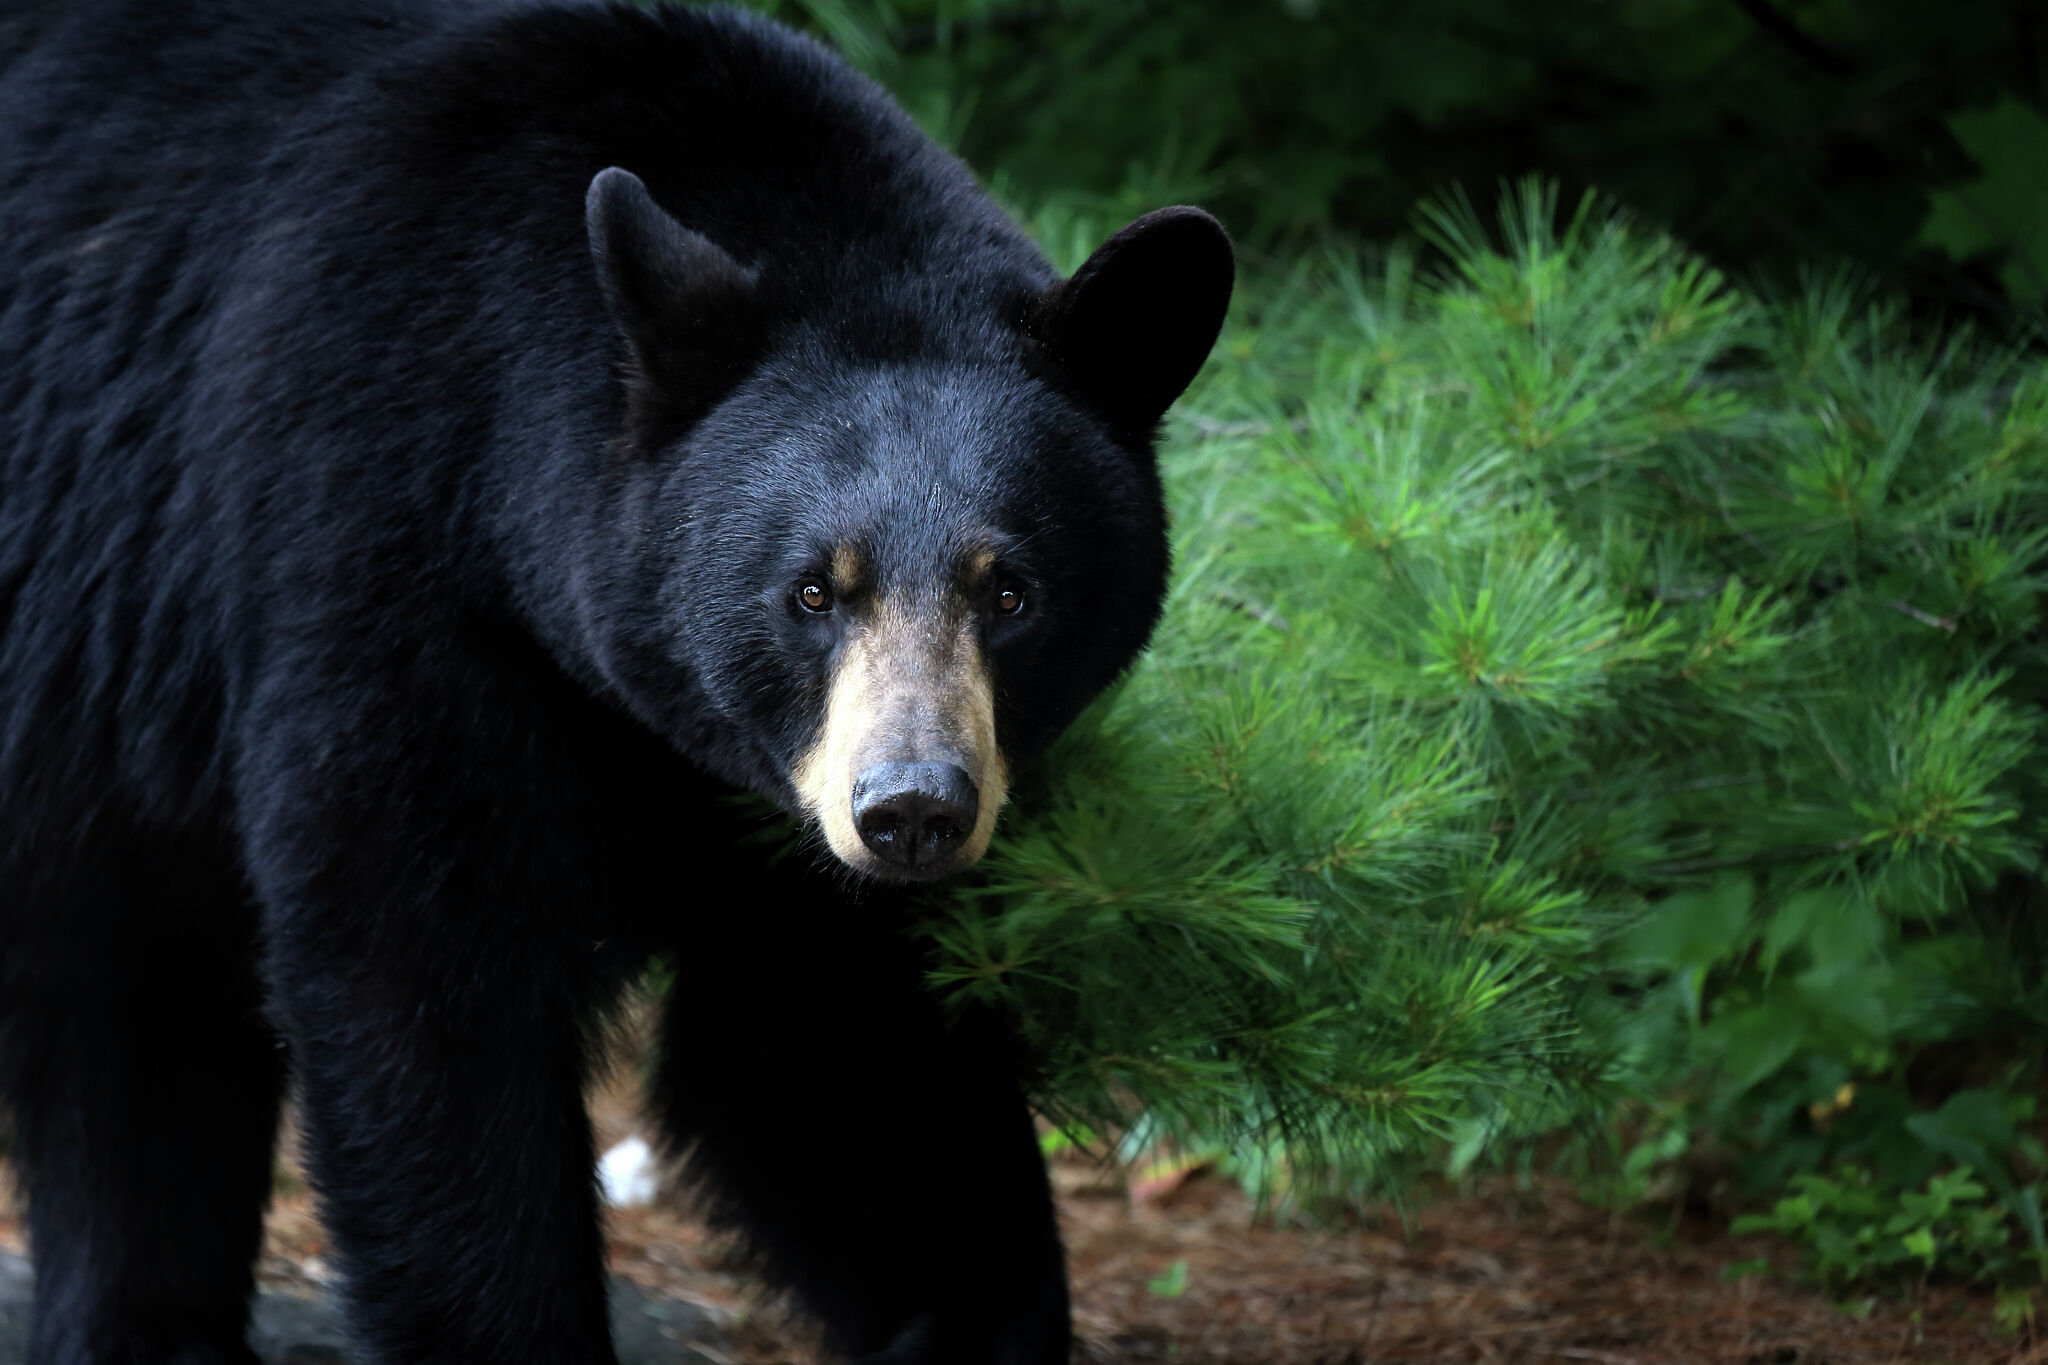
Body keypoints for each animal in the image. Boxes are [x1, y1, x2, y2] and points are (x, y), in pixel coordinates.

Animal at [0, 0, 1233, 1362]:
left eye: (1007, 591)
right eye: (814, 590)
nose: (911, 809)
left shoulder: (771, 808)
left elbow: (840, 1051)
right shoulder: (377, 558)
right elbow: (422, 989)